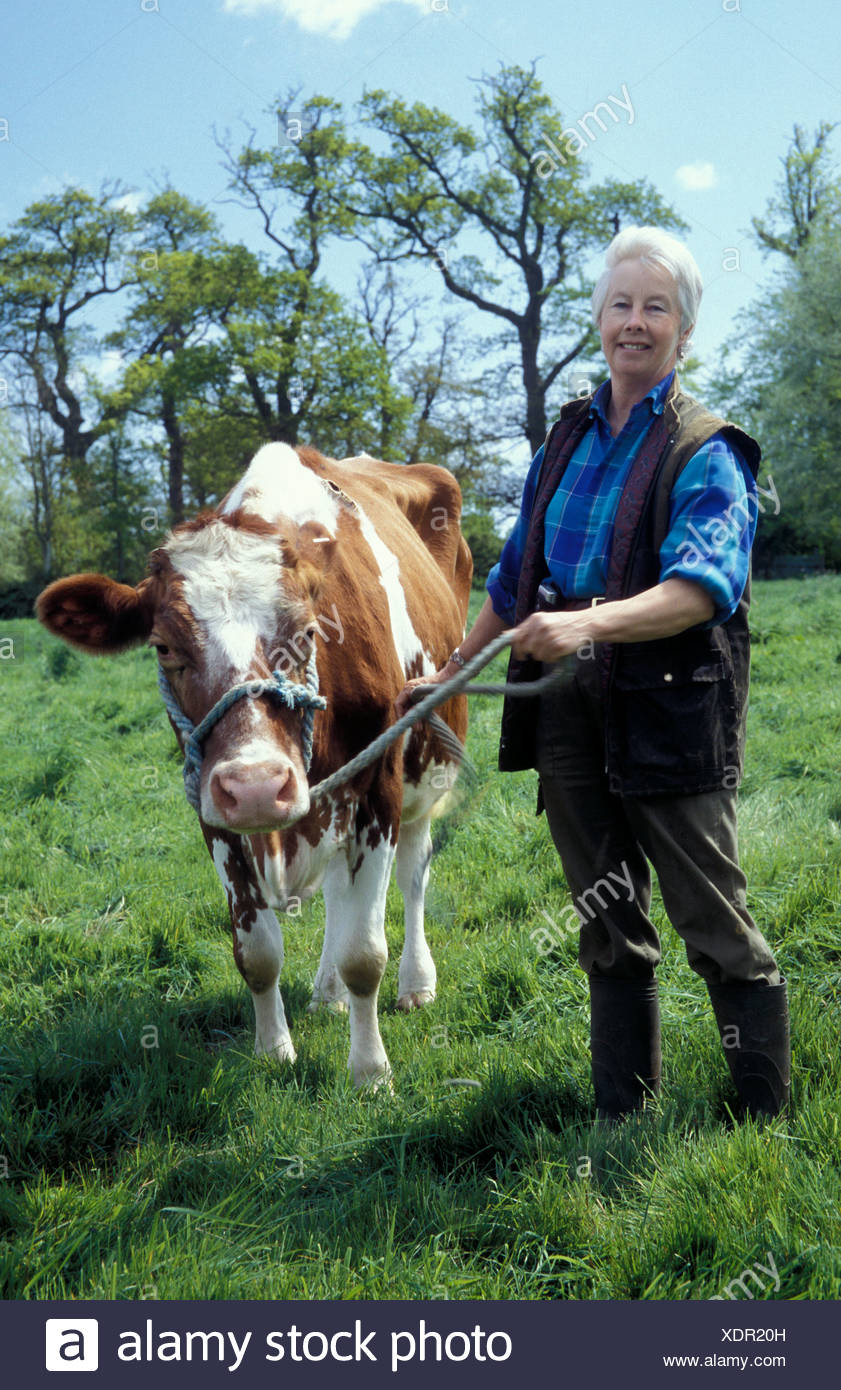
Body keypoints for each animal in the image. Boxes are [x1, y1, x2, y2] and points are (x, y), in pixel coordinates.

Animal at [36, 443, 472, 1087]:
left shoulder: (377, 791)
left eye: (310, 632)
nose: (259, 786)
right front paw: (274, 1051)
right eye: (163, 647)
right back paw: (326, 993)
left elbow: (364, 951)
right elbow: (258, 953)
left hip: (428, 767)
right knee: (337, 894)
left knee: (414, 872)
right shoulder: (213, 807)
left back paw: (416, 983)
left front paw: (370, 1072)